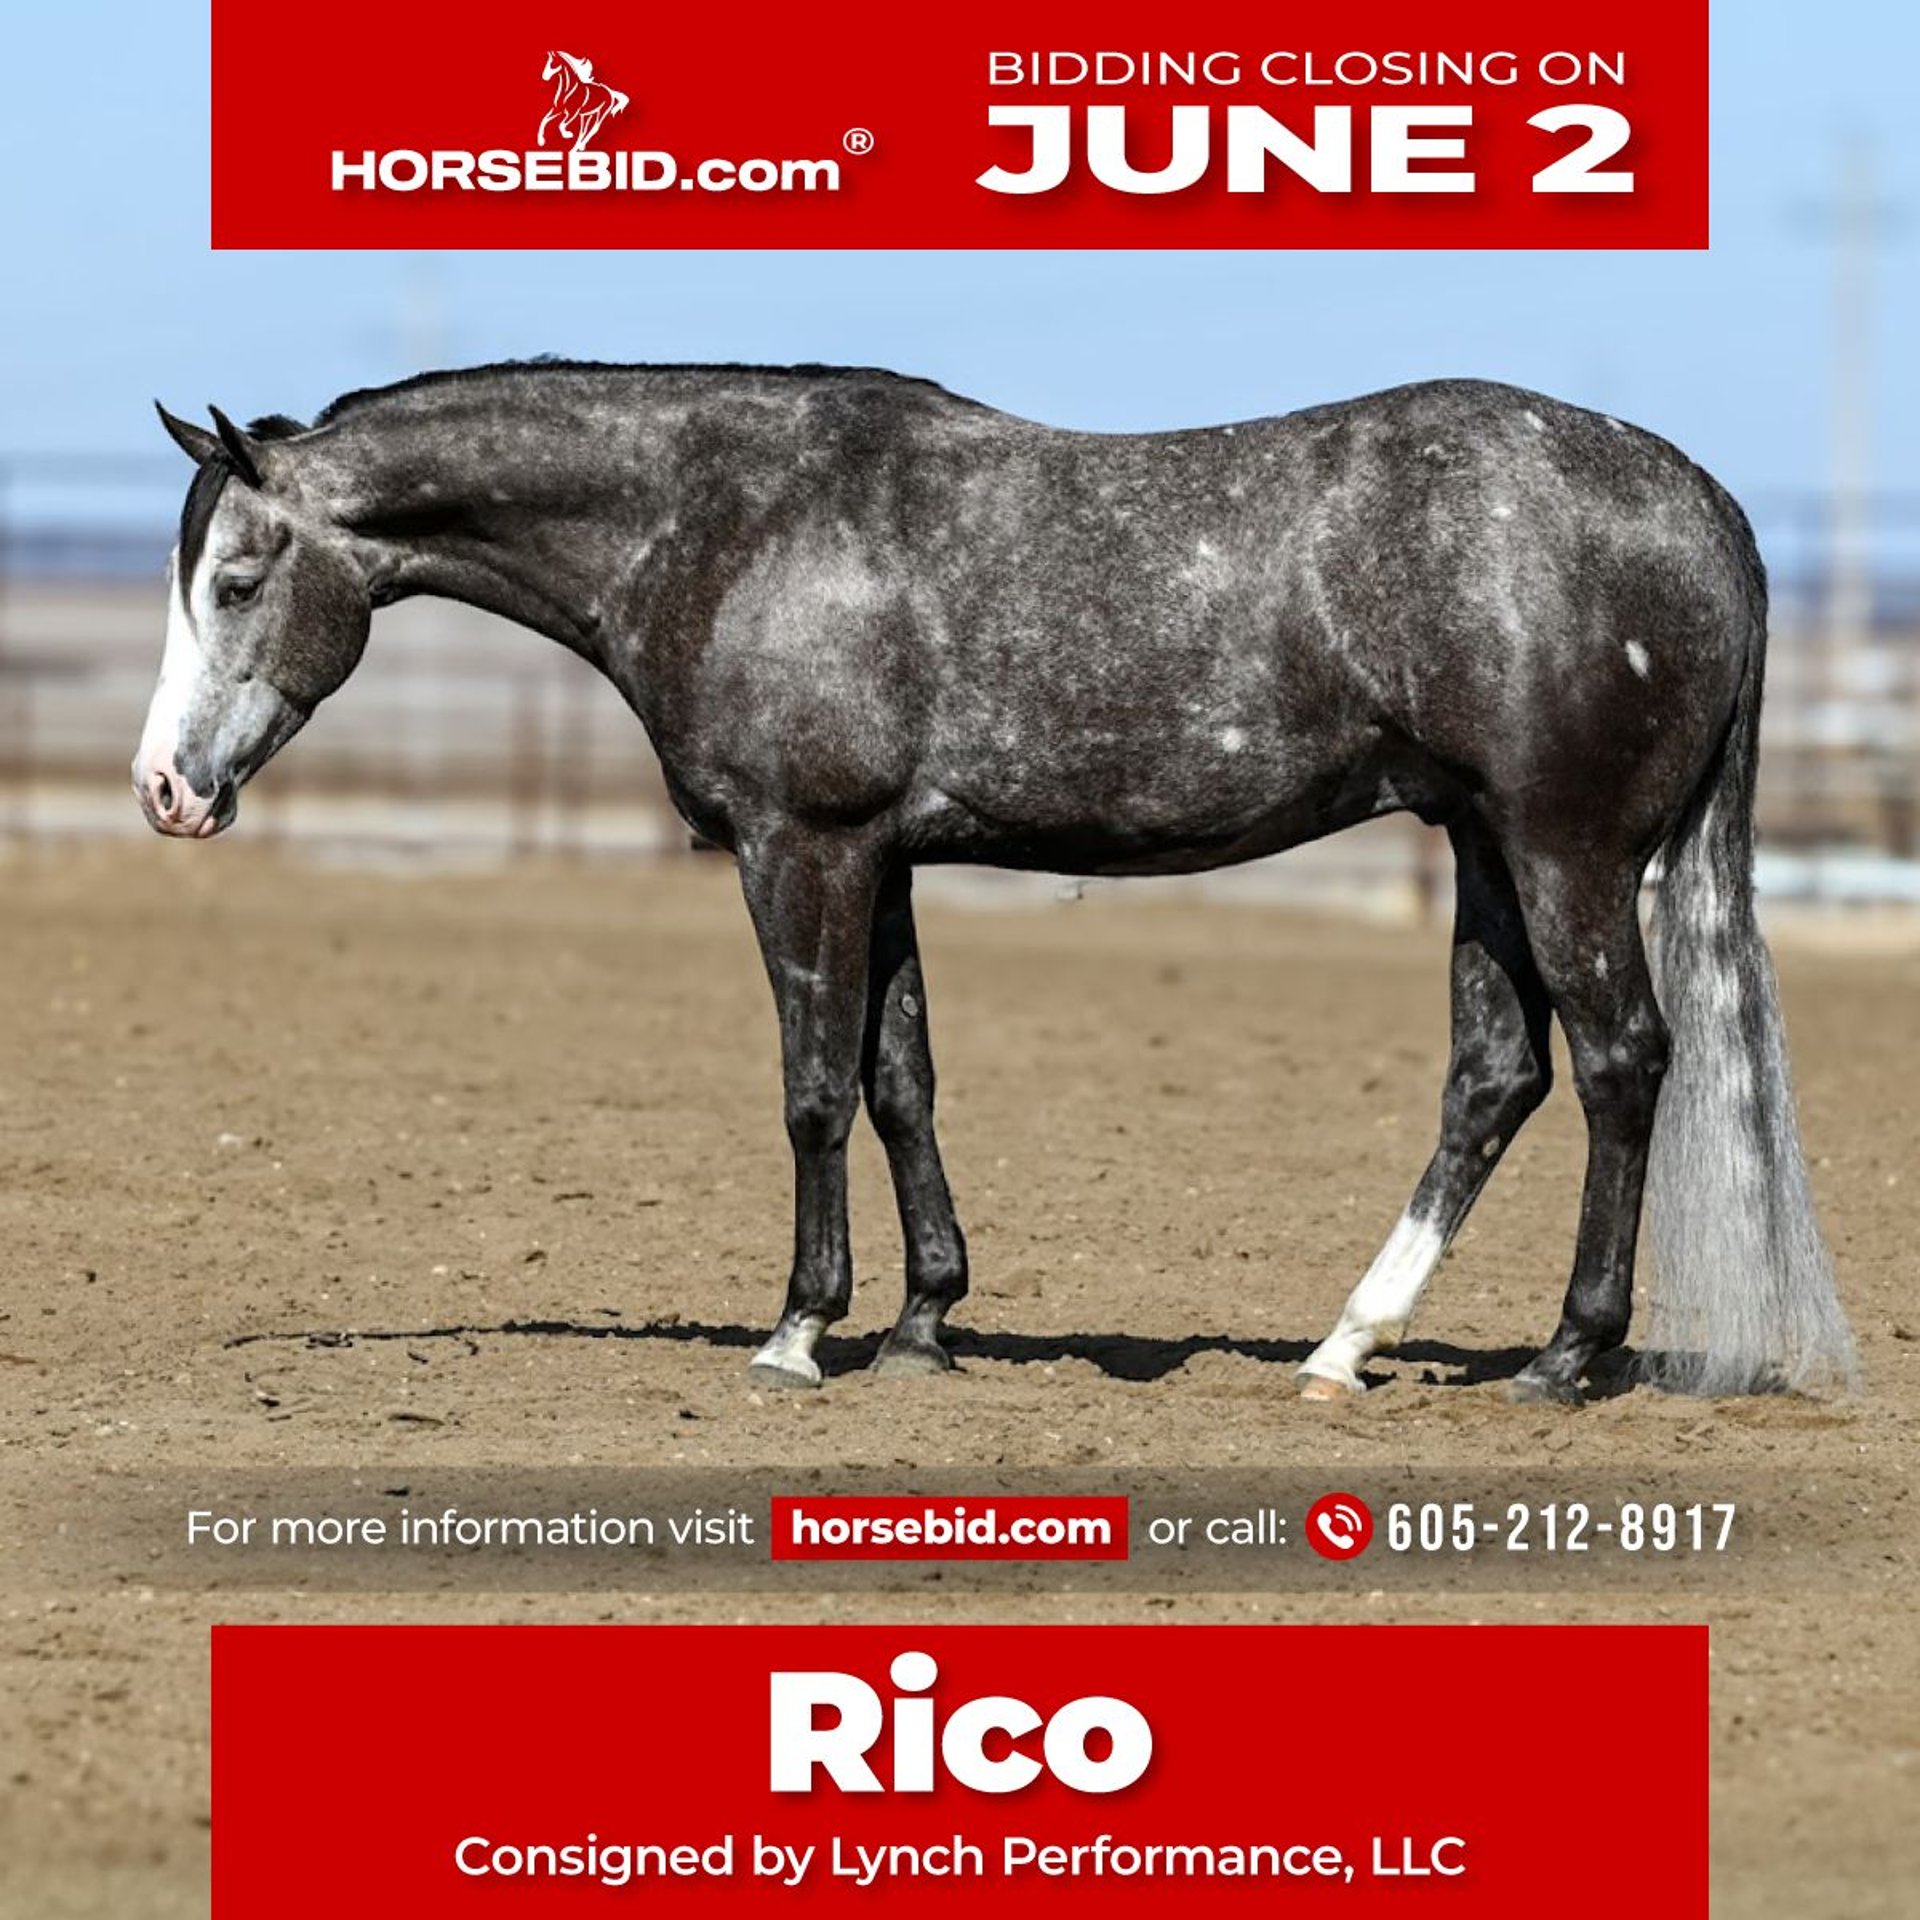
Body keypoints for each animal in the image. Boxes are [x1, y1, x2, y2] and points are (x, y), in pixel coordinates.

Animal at [135, 362, 1859, 1405]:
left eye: (239, 577)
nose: (167, 790)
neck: (731, 519)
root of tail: (1698, 499)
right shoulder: (884, 857)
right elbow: (901, 1081)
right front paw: (922, 1324)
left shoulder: (802, 846)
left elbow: (813, 1089)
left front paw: (798, 1332)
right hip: (1485, 845)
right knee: (1497, 1074)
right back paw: (1344, 1345)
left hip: (1566, 851)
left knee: (1622, 1063)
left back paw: (1568, 1357)